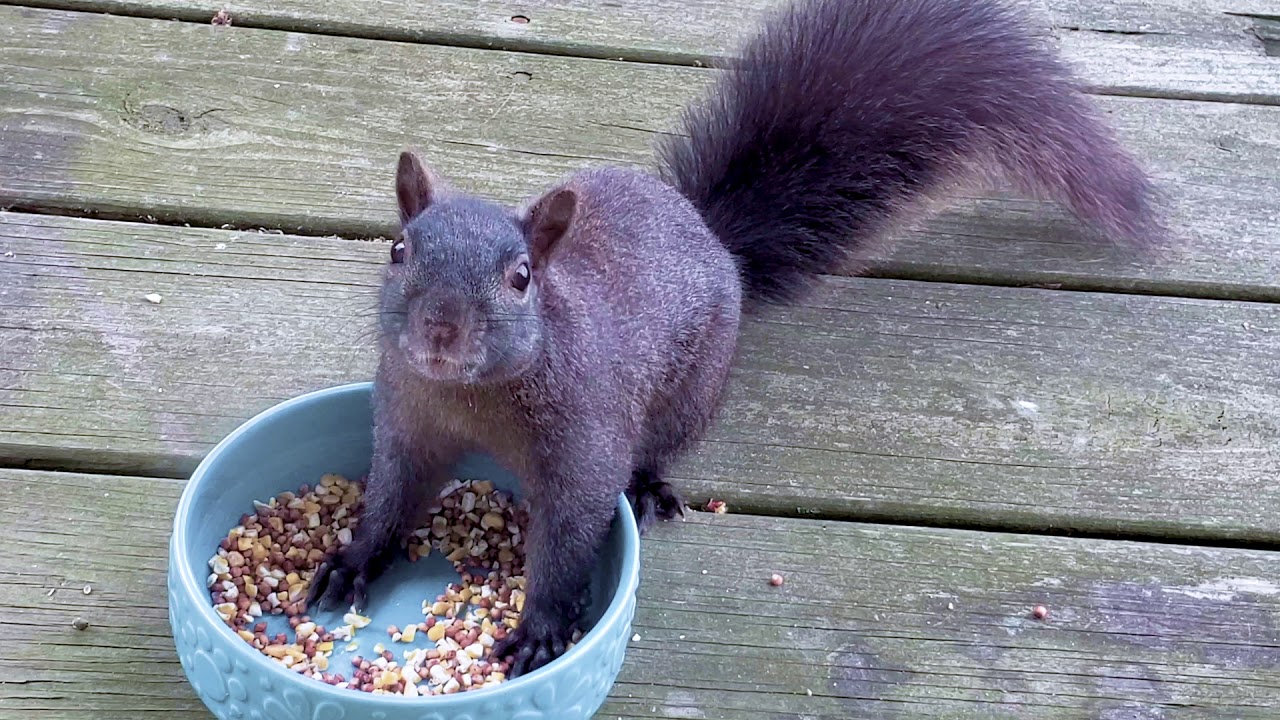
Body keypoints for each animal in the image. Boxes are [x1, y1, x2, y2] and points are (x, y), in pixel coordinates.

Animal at [307, 0, 1164, 677]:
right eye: (399, 249)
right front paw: (351, 564)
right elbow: (392, 496)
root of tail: (710, 235)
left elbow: (571, 531)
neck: (471, 397)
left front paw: (542, 627)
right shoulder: (408, 422)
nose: (440, 327)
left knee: (659, 449)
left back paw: (651, 490)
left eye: (521, 277)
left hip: (693, 389)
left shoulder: (584, 440)